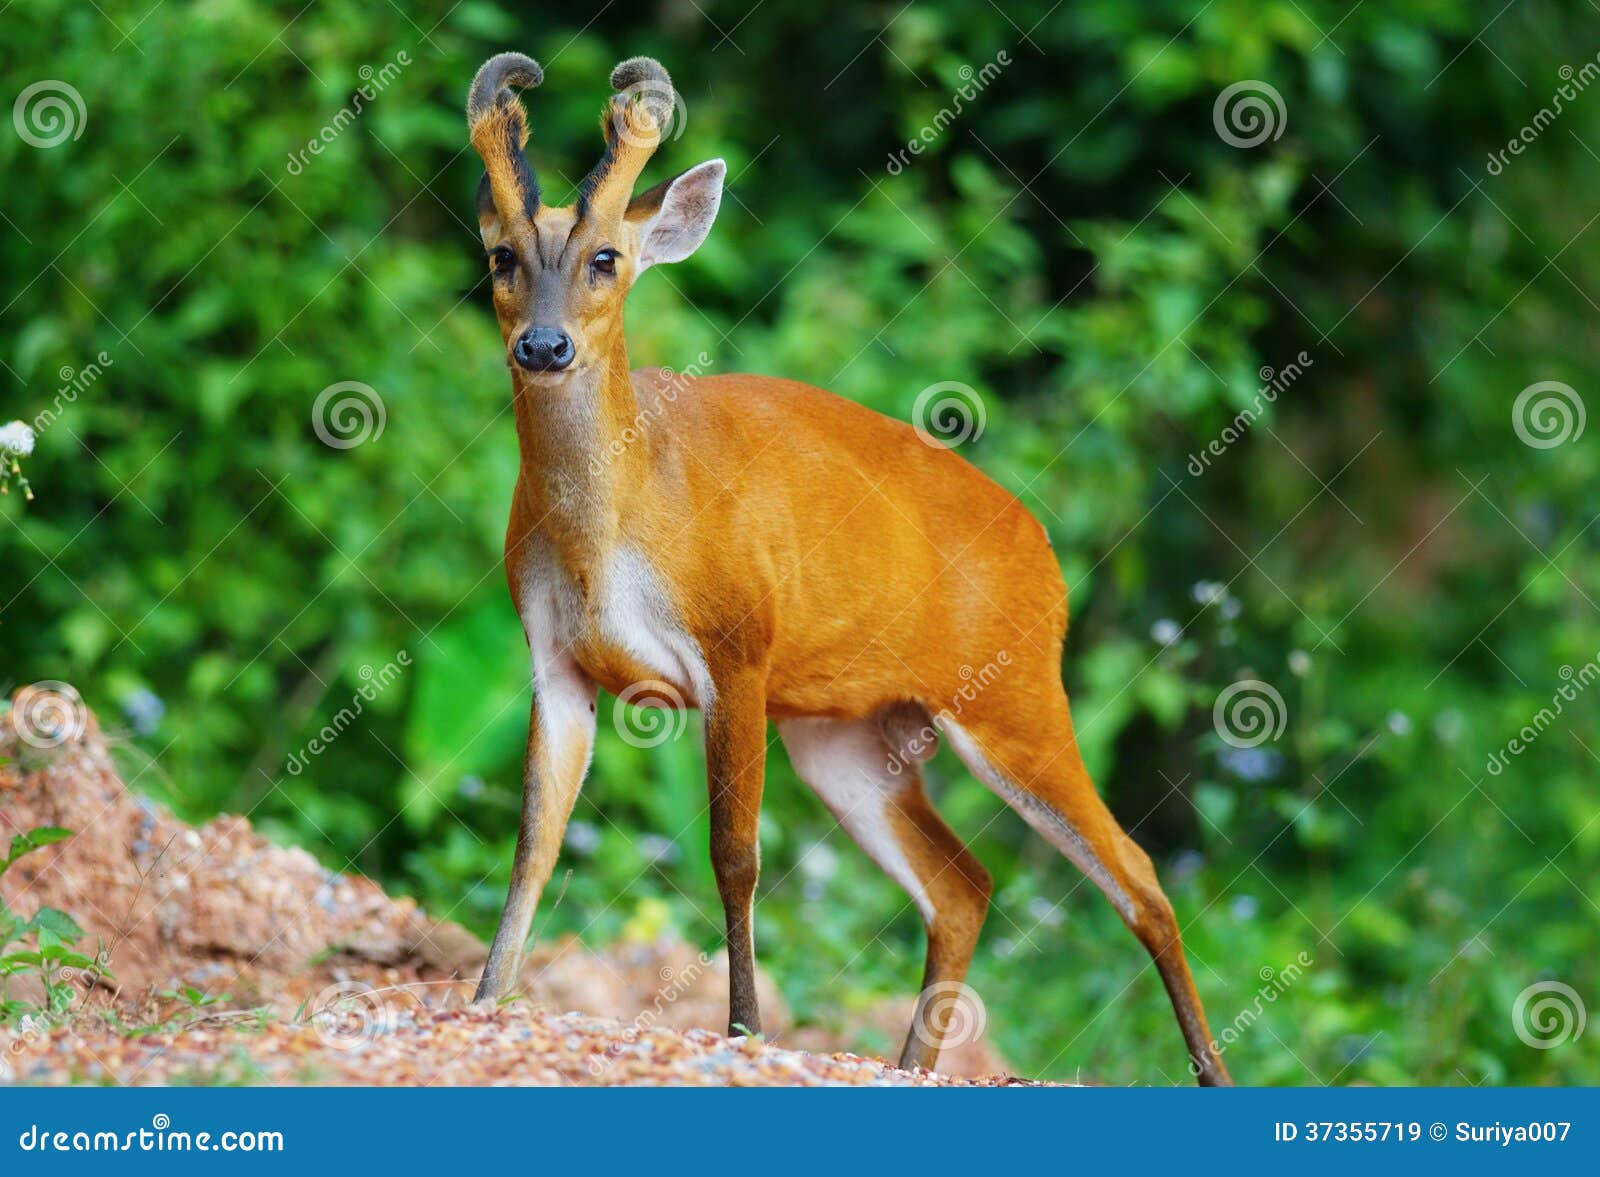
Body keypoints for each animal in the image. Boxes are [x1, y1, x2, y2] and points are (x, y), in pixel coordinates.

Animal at [463, 50, 1233, 1086]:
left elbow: (735, 853)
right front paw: (485, 997)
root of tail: (1045, 552)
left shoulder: (737, 644)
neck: (614, 527)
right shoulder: (554, 657)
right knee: (965, 882)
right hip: (849, 734)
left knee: (1138, 874)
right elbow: (533, 843)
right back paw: (912, 1062)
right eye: (502, 257)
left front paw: (746, 1028)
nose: (544, 347)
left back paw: (1209, 1069)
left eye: (606, 259)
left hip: (1016, 694)